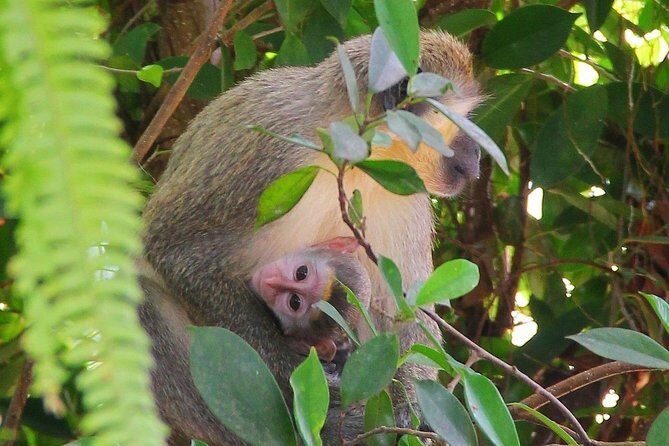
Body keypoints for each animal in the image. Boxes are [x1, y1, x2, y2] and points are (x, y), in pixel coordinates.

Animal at [141, 30, 482, 445]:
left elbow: (405, 309)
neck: (355, 154)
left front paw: (410, 408)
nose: (477, 158)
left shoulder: (407, 194)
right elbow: (175, 248)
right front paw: (289, 366)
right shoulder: (264, 147)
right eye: (460, 122)